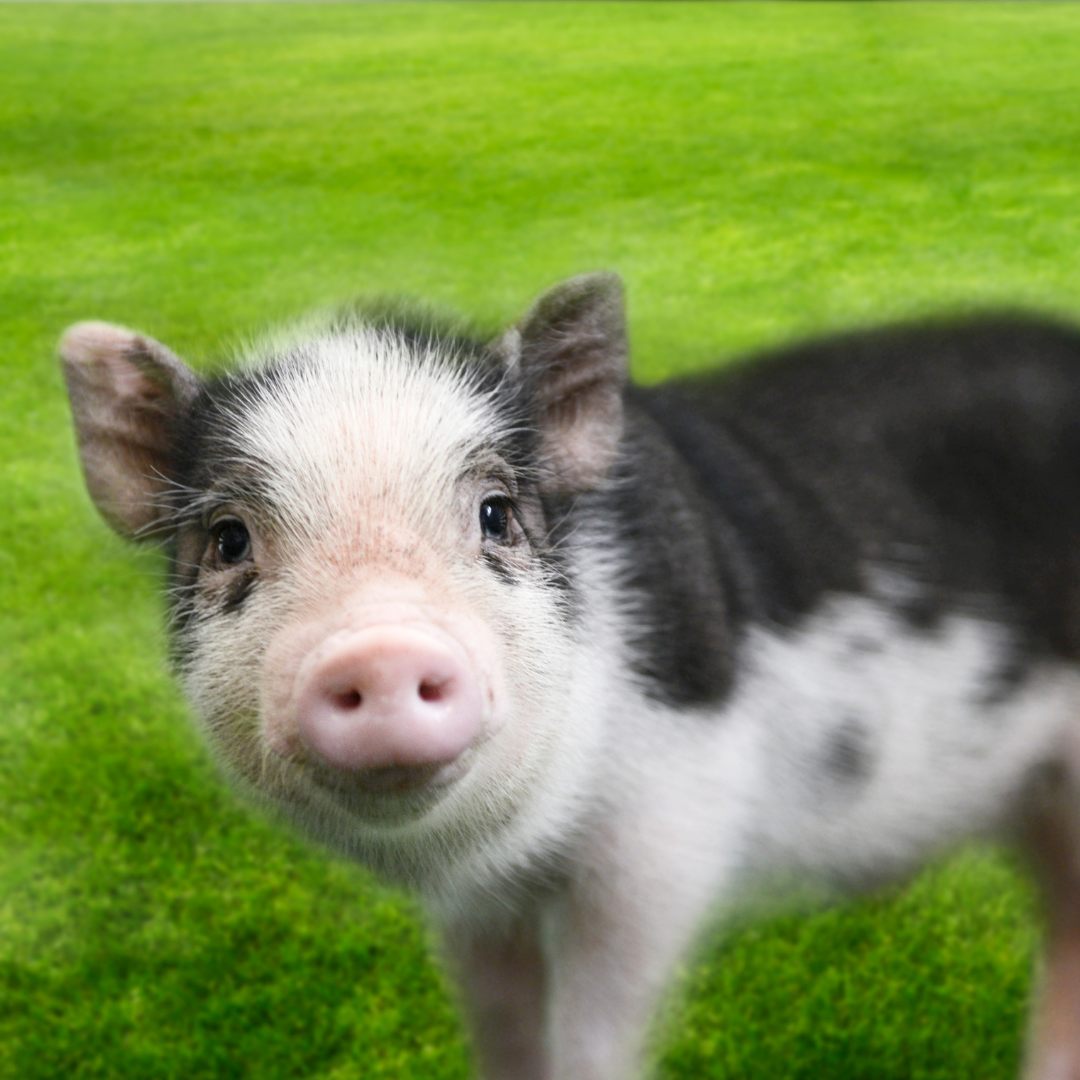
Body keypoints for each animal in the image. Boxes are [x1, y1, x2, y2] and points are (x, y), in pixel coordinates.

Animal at [60, 273, 1080, 1080]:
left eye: (498, 513)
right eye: (229, 539)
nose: (380, 650)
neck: (522, 853)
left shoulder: (661, 837)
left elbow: (598, 1029)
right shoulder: (476, 907)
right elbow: (504, 1027)